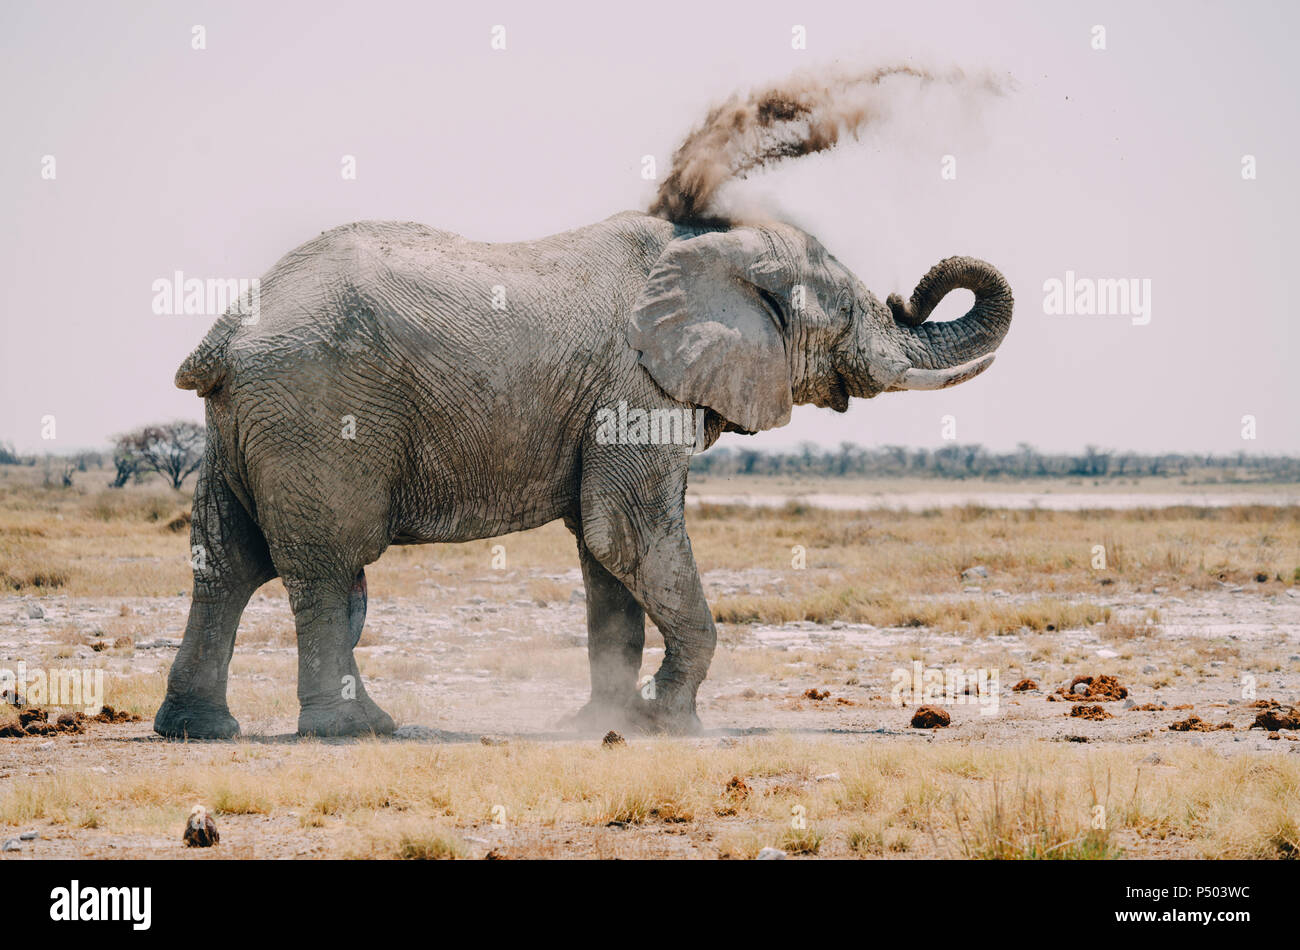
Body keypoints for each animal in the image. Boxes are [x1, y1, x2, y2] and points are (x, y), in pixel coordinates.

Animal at [153, 210, 1012, 739]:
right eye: (846, 315)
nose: (911, 292)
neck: (720, 251)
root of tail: (229, 328)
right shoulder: (637, 385)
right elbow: (625, 528)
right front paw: (671, 720)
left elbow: (606, 554)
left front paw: (608, 726)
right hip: (318, 411)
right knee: (328, 569)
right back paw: (358, 730)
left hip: (245, 423)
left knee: (226, 563)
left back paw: (200, 730)